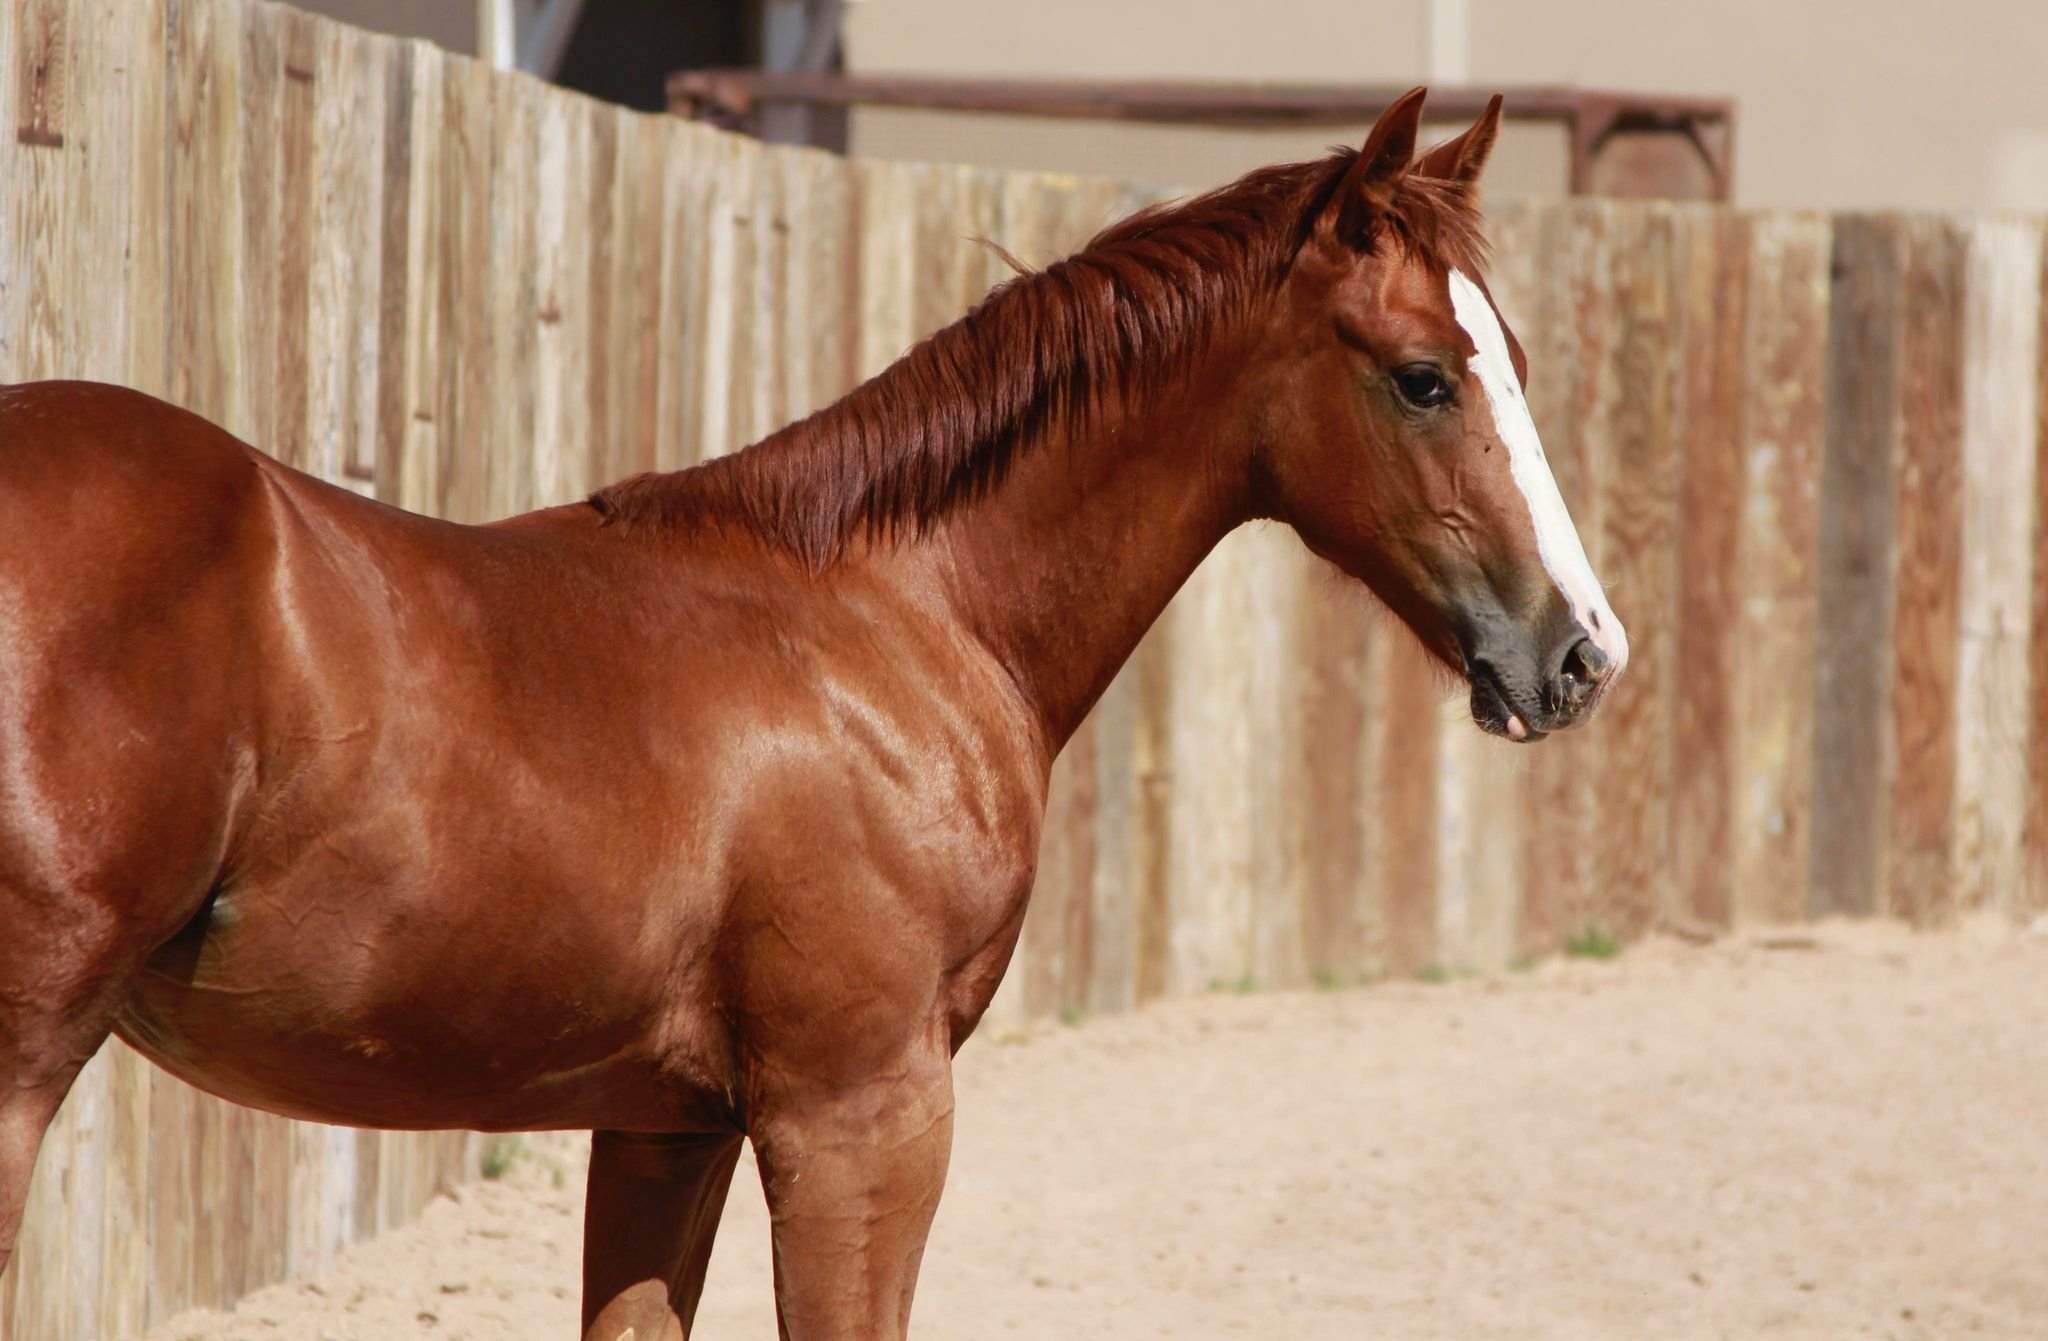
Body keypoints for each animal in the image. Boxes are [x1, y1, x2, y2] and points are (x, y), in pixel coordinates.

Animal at [0, 87, 1625, 1339]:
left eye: (1509, 360)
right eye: (1423, 380)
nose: (1580, 653)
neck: (901, 616)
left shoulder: (664, 1126)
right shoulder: (861, 1118)